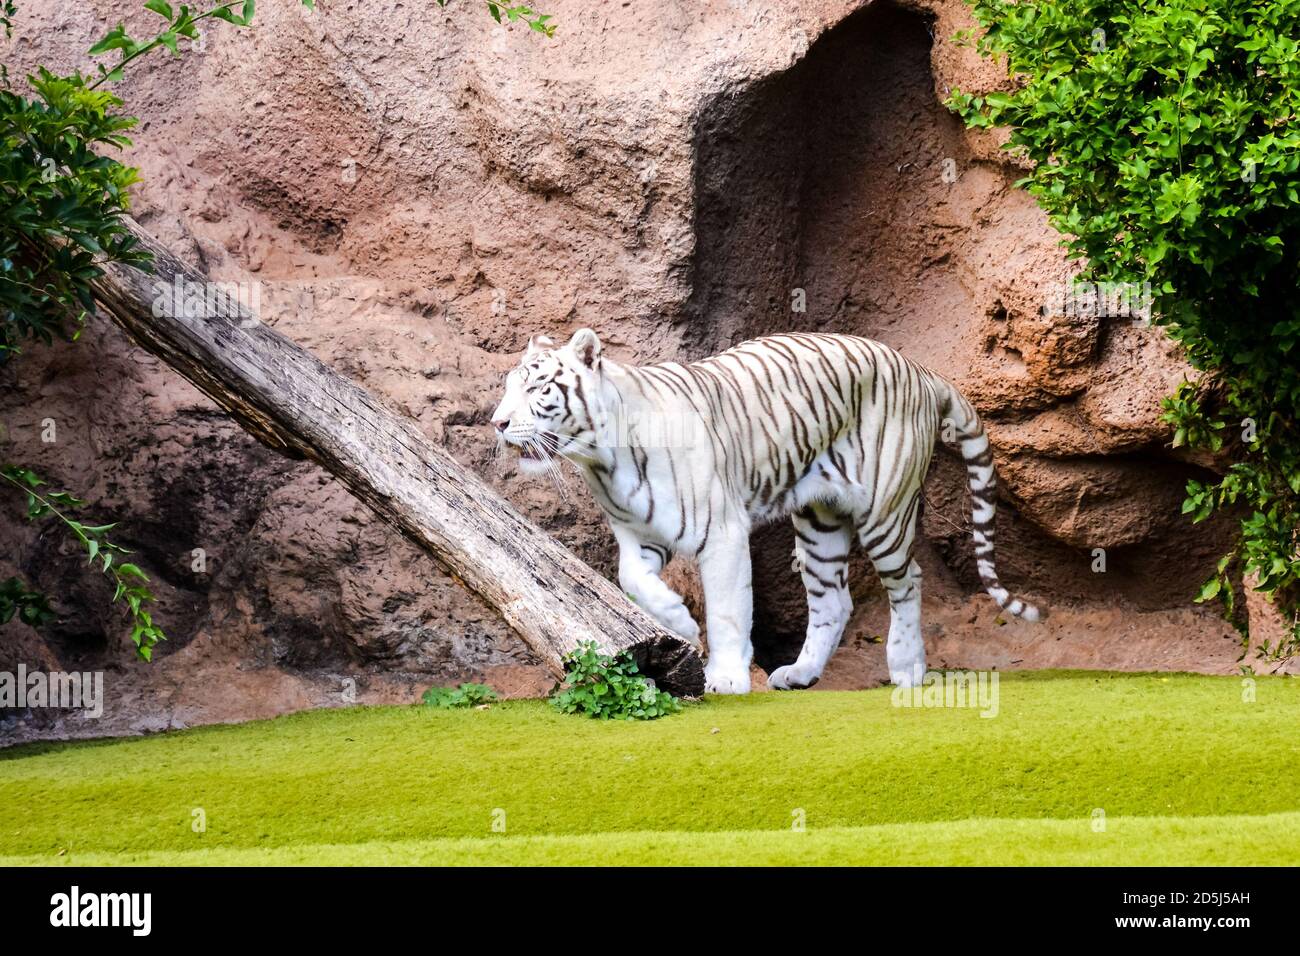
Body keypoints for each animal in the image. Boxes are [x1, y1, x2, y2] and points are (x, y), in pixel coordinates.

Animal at [490, 328, 1043, 694]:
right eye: (508, 388)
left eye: (536, 388)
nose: (496, 422)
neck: (602, 459)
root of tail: (920, 370)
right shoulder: (640, 534)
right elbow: (631, 579)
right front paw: (680, 624)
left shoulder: (723, 532)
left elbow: (729, 610)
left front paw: (725, 676)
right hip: (820, 522)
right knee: (833, 600)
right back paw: (801, 673)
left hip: (885, 510)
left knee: (909, 581)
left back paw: (907, 667)